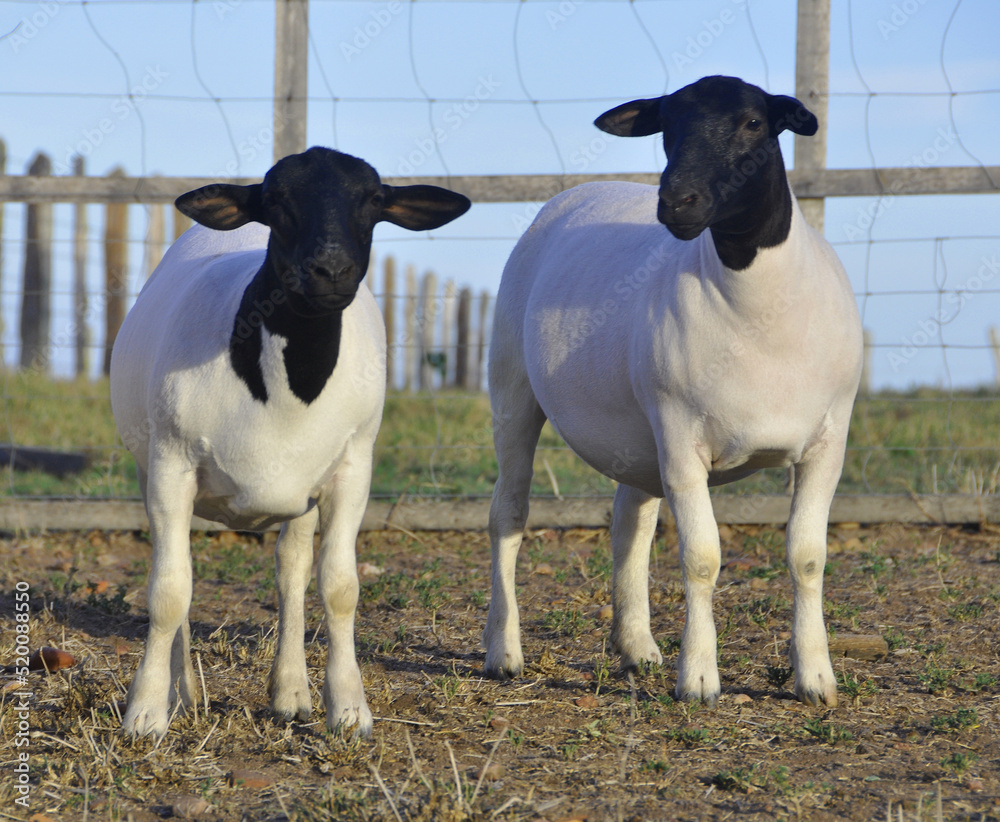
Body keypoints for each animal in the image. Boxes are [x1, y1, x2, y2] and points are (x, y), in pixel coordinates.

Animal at [110, 147, 470, 738]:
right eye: (276, 200)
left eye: (373, 199)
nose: (331, 270)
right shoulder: (169, 468)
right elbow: (169, 592)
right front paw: (144, 712)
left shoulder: (351, 472)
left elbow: (339, 587)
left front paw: (348, 708)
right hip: (152, 468)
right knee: (180, 570)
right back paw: (182, 693)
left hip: (303, 494)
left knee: (291, 572)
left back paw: (290, 692)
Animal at [482, 76, 863, 708]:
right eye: (666, 126)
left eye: (754, 123)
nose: (676, 202)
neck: (757, 308)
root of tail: (581, 191)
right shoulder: (683, 438)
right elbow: (702, 559)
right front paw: (700, 678)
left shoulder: (828, 440)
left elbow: (808, 557)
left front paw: (815, 677)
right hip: (513, 390)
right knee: (508, 514)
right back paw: (502, 652)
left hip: (637, 434)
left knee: (629, 522)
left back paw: (636, 646)